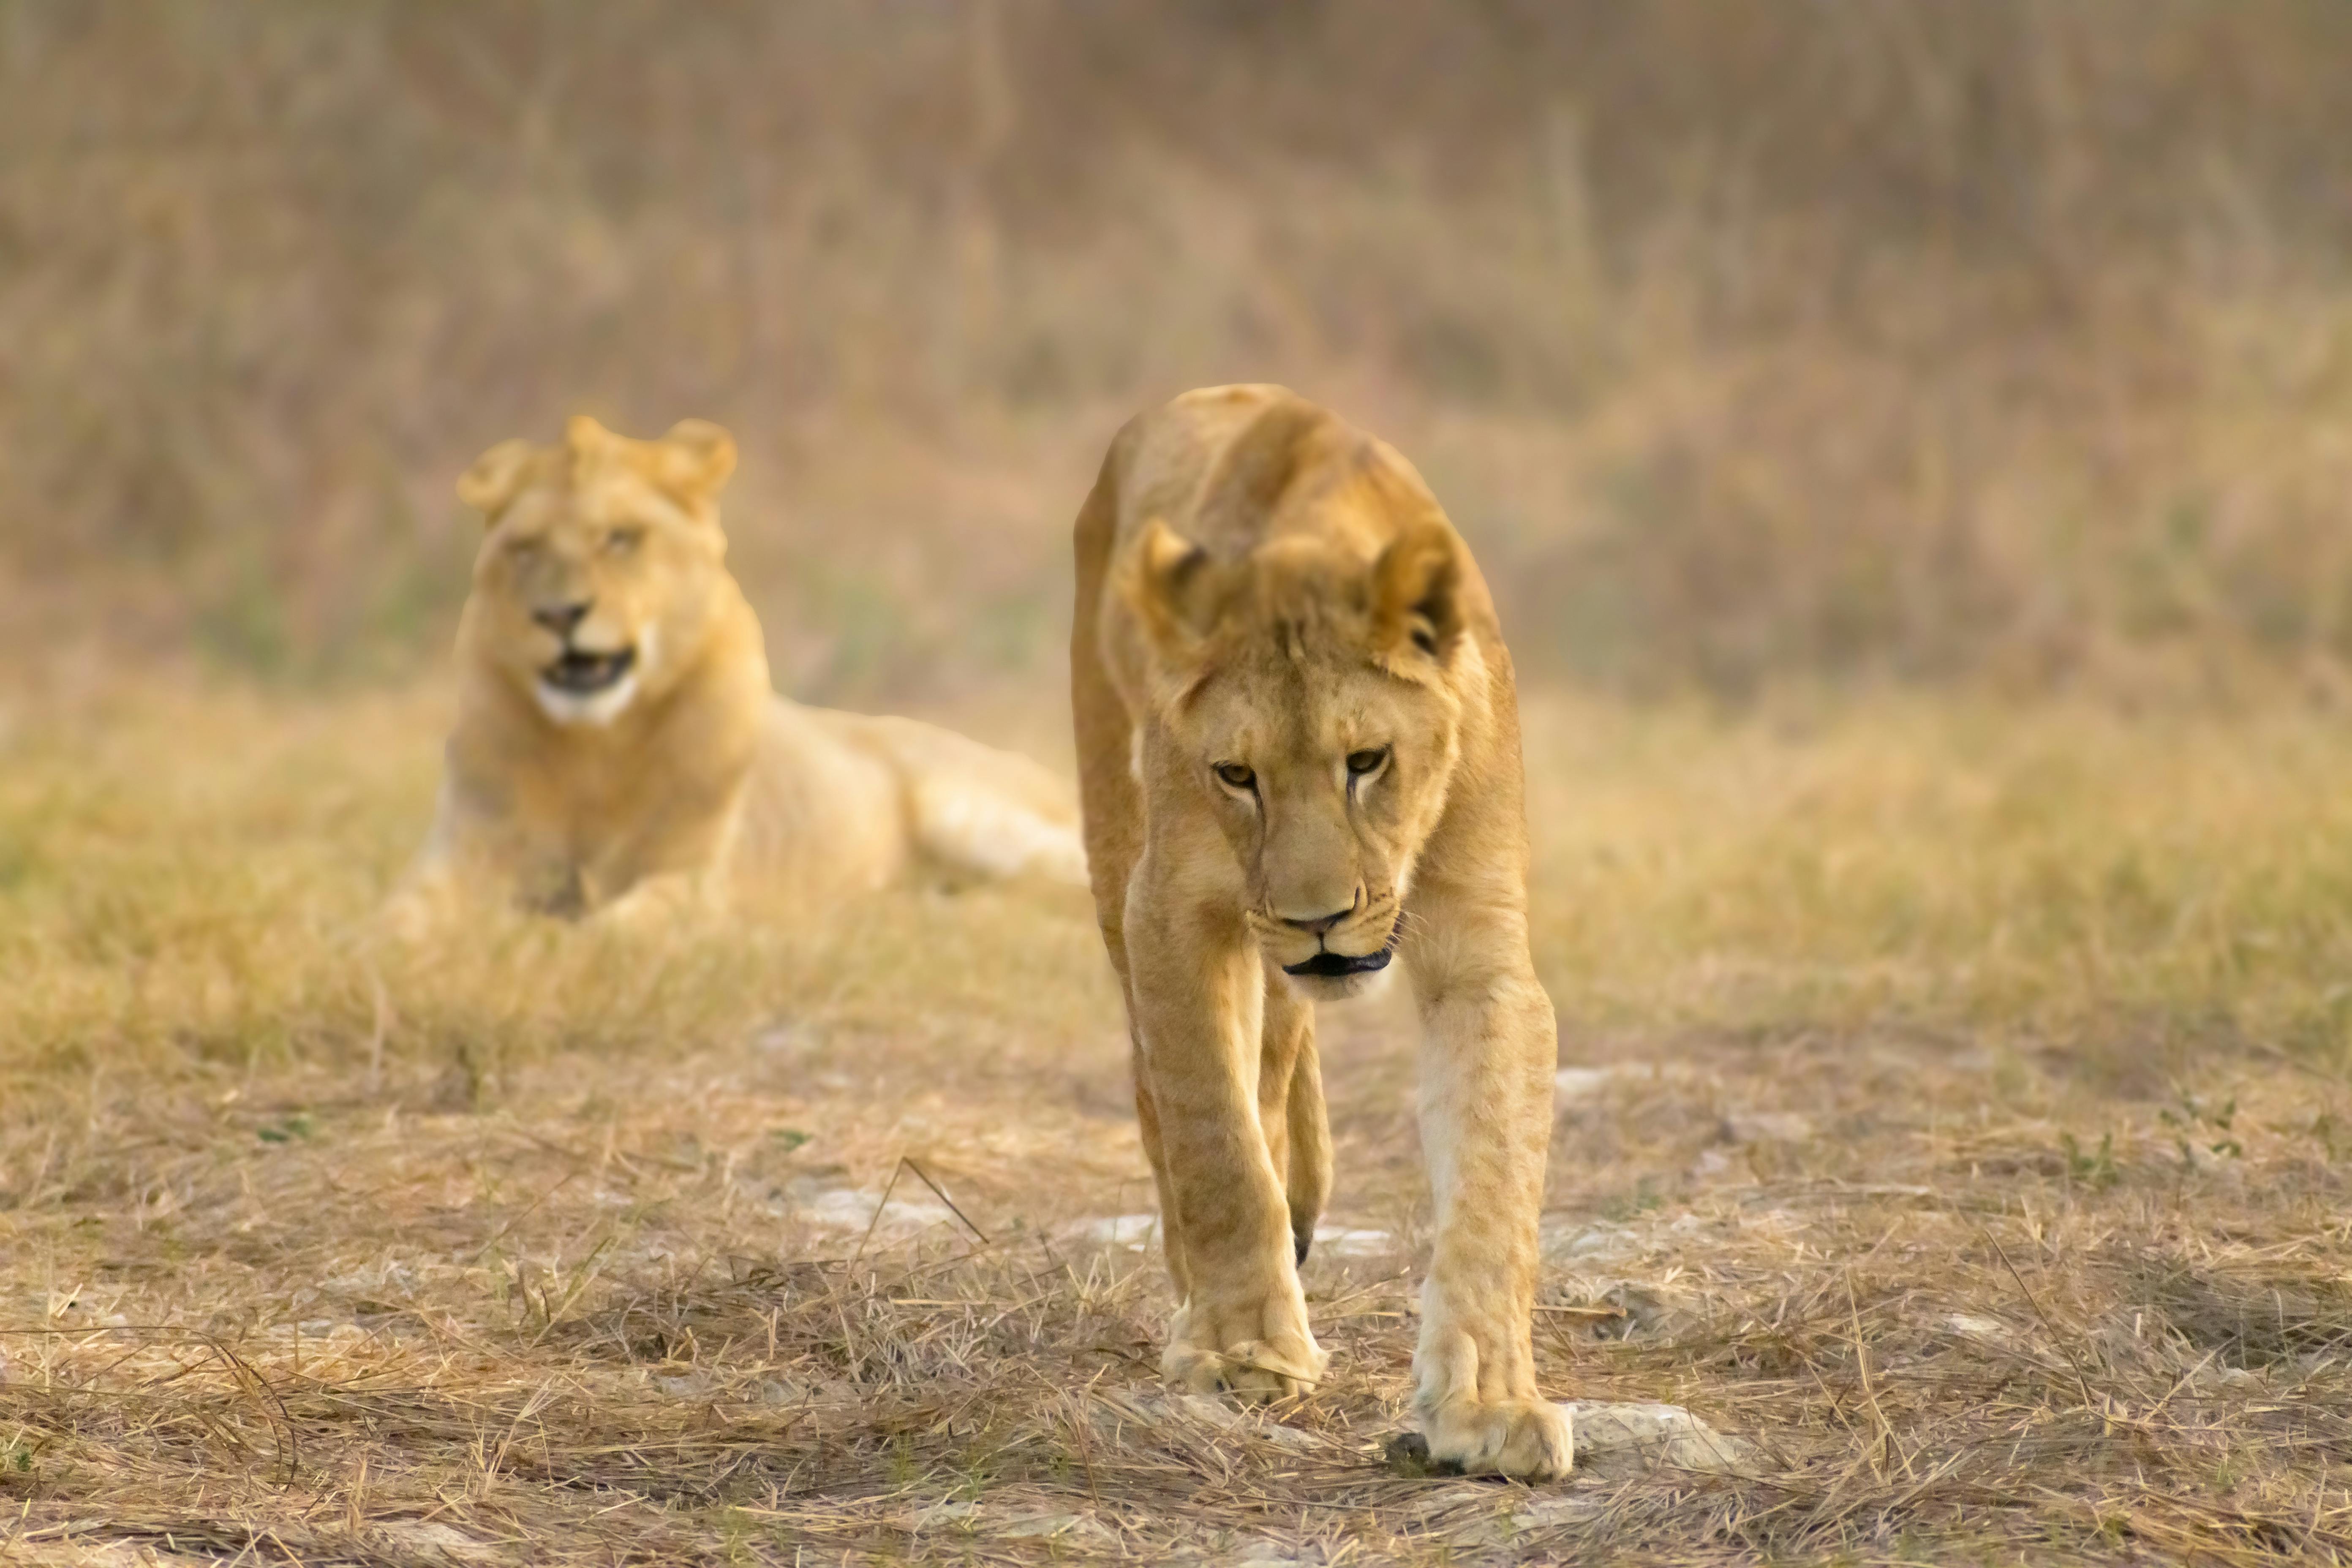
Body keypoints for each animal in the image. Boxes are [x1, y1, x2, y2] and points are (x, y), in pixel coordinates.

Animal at [389, 415, 1087, 931]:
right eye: (525, 549)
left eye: (621, 538)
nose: (558, 614)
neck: (595, 750)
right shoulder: (458, 857)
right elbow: (396, 923)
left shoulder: (696, 879)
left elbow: (622, 925)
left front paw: (552, 939)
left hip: (976, 814)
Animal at [1071, 385, 1573, 1479]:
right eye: (1236, 774)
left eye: (1367, 759)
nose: (1319, 924)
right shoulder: (1167, 910)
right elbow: (1215, 1142)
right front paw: (1243, 1348)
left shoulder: (1480, 946)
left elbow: (1493, 1180)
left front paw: (1489, 1401)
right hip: (1114, 840)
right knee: (1171, 1091)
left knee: (1271, 1066)